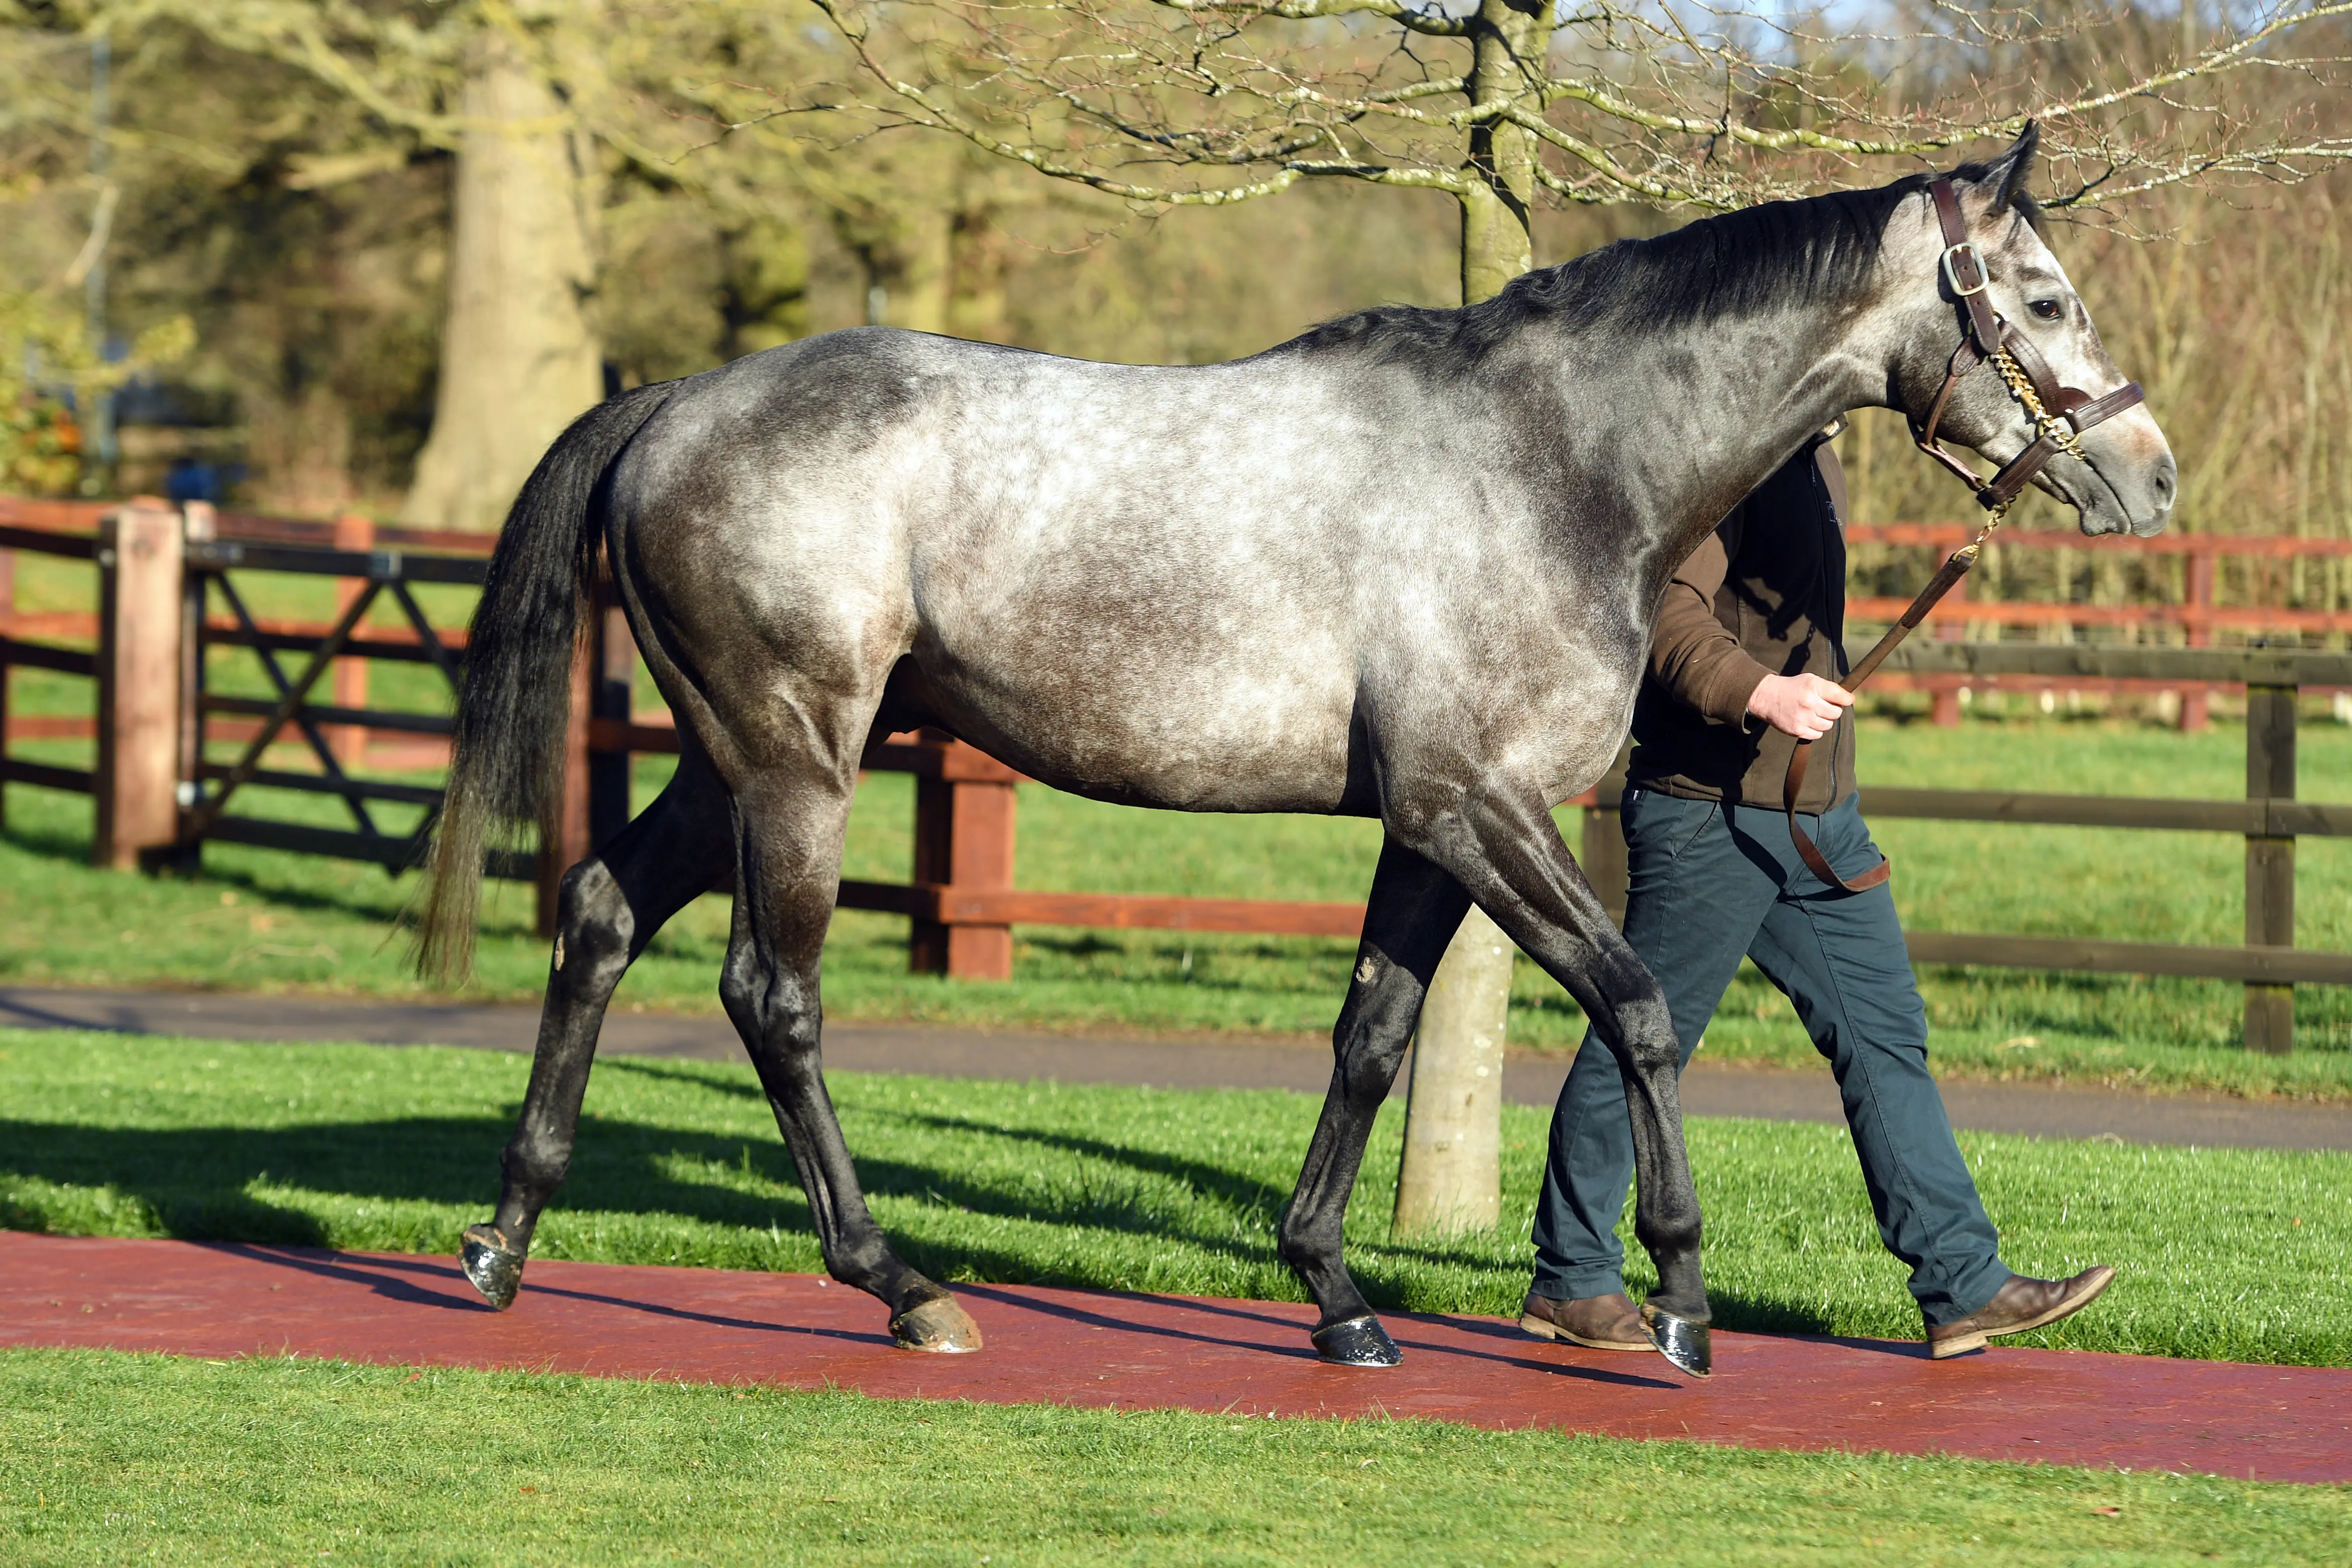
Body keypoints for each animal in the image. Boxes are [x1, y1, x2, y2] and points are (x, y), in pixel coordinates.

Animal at [415, 125, 2172, 1379]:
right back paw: (903, 1288)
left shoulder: (1428, 826)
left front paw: (1335, 1296)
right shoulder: (1478, 805)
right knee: (770, 998)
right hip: (798, 766)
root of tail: (676, 404)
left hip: (730, 759)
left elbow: (1372, 1040)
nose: (2149, 475)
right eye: (2040, 299)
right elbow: (1639, 1008)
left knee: (597, 915)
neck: (1551, 463)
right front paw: (1677, 1292)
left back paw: (503, 1241)